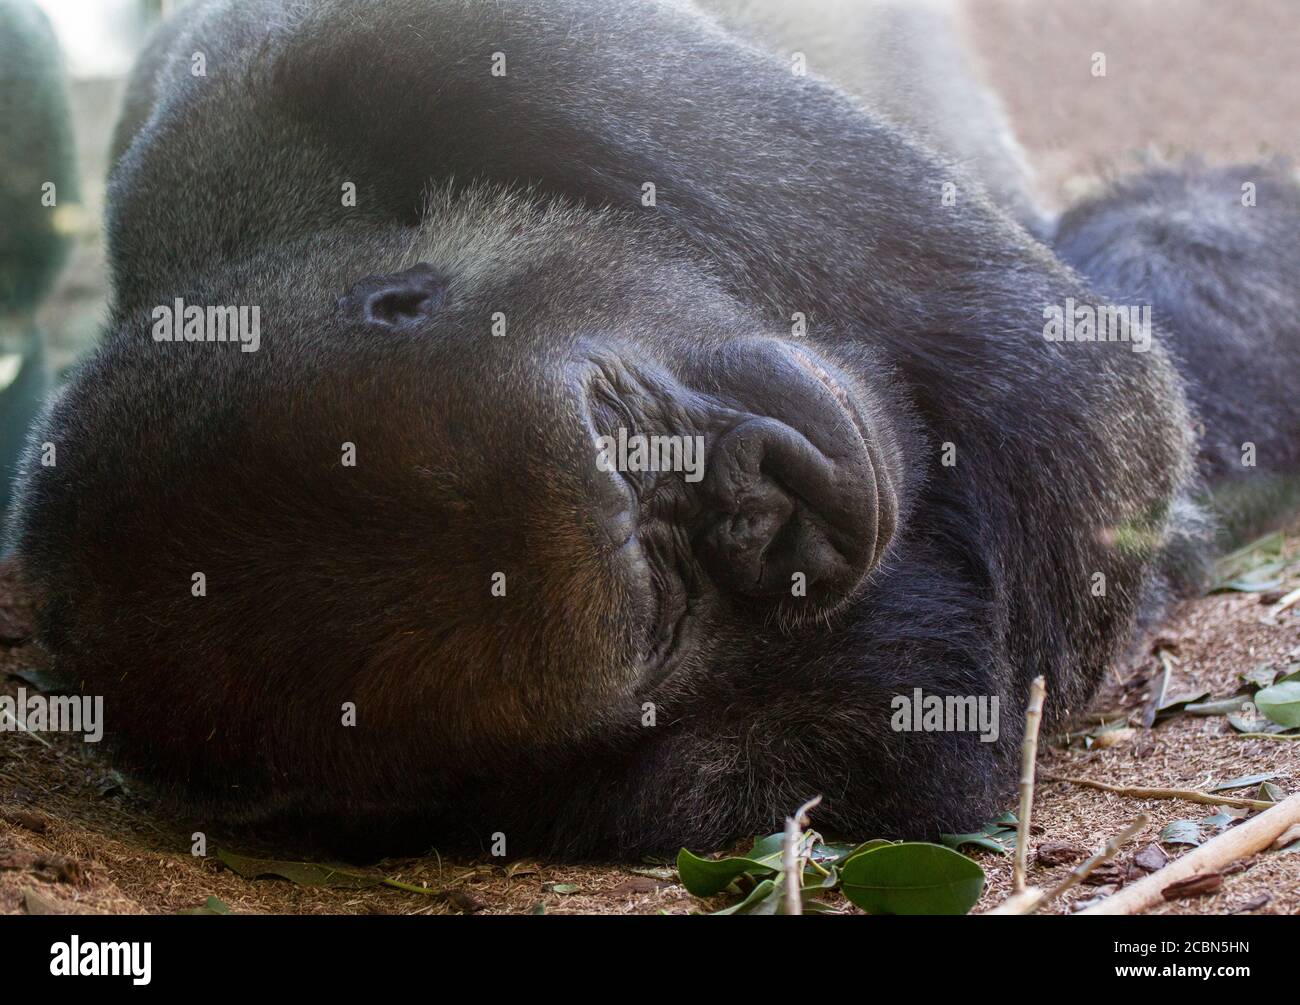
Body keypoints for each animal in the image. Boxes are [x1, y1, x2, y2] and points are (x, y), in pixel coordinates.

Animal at [5, 0, 1297, 858]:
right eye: (664, 615)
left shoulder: (422, 39)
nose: (783, 509)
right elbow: (876, 740)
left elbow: (1096, 402)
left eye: (621, 420)